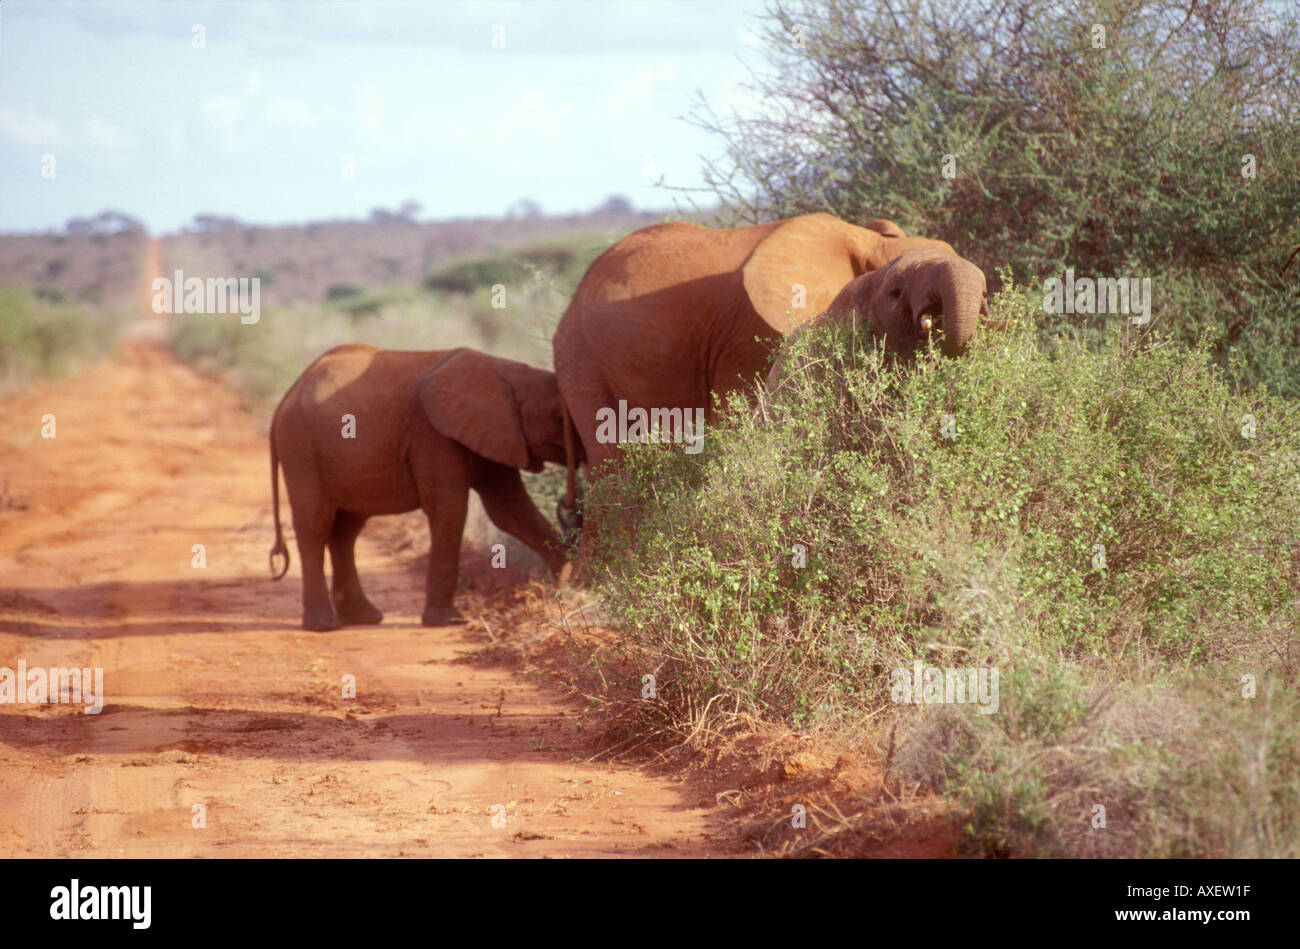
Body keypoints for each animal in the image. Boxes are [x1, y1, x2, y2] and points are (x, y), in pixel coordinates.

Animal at [268, 345, 576, 631]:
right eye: (559, 418)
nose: (569, 503)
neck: (507, 371)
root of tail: (285, 399)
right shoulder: (434, 437)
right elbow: (450, 510)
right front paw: (448, 621)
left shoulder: (498, 435)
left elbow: (509, 510)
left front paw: (565, 584)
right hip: (302, 449)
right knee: (315, 525)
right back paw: (324, 626)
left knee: (345, 531)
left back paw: (364, 617)